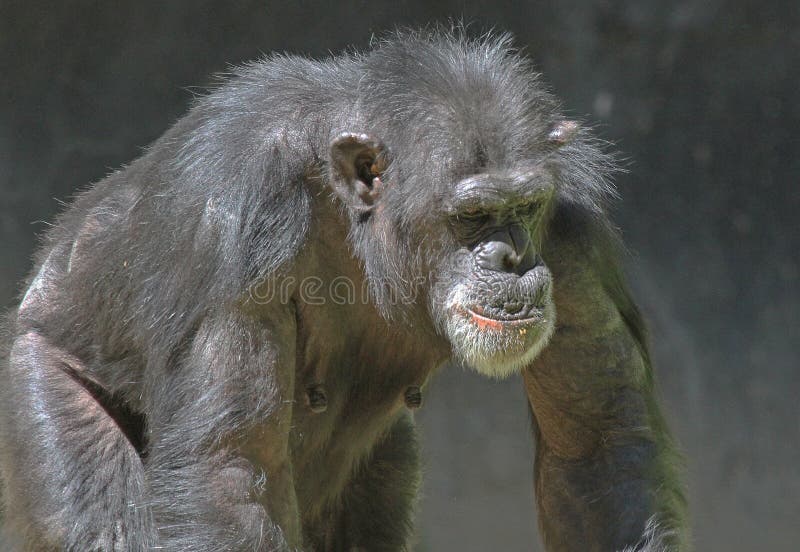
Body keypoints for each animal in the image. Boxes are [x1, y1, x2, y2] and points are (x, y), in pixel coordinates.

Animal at [0, 29, 687, 551]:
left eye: (527, 205)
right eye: (471, 215)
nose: (512, 258)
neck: (351, 215)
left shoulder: (573, 234)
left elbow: (601, 439)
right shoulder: (233, 224)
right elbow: (230, 473)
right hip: (35, 372)